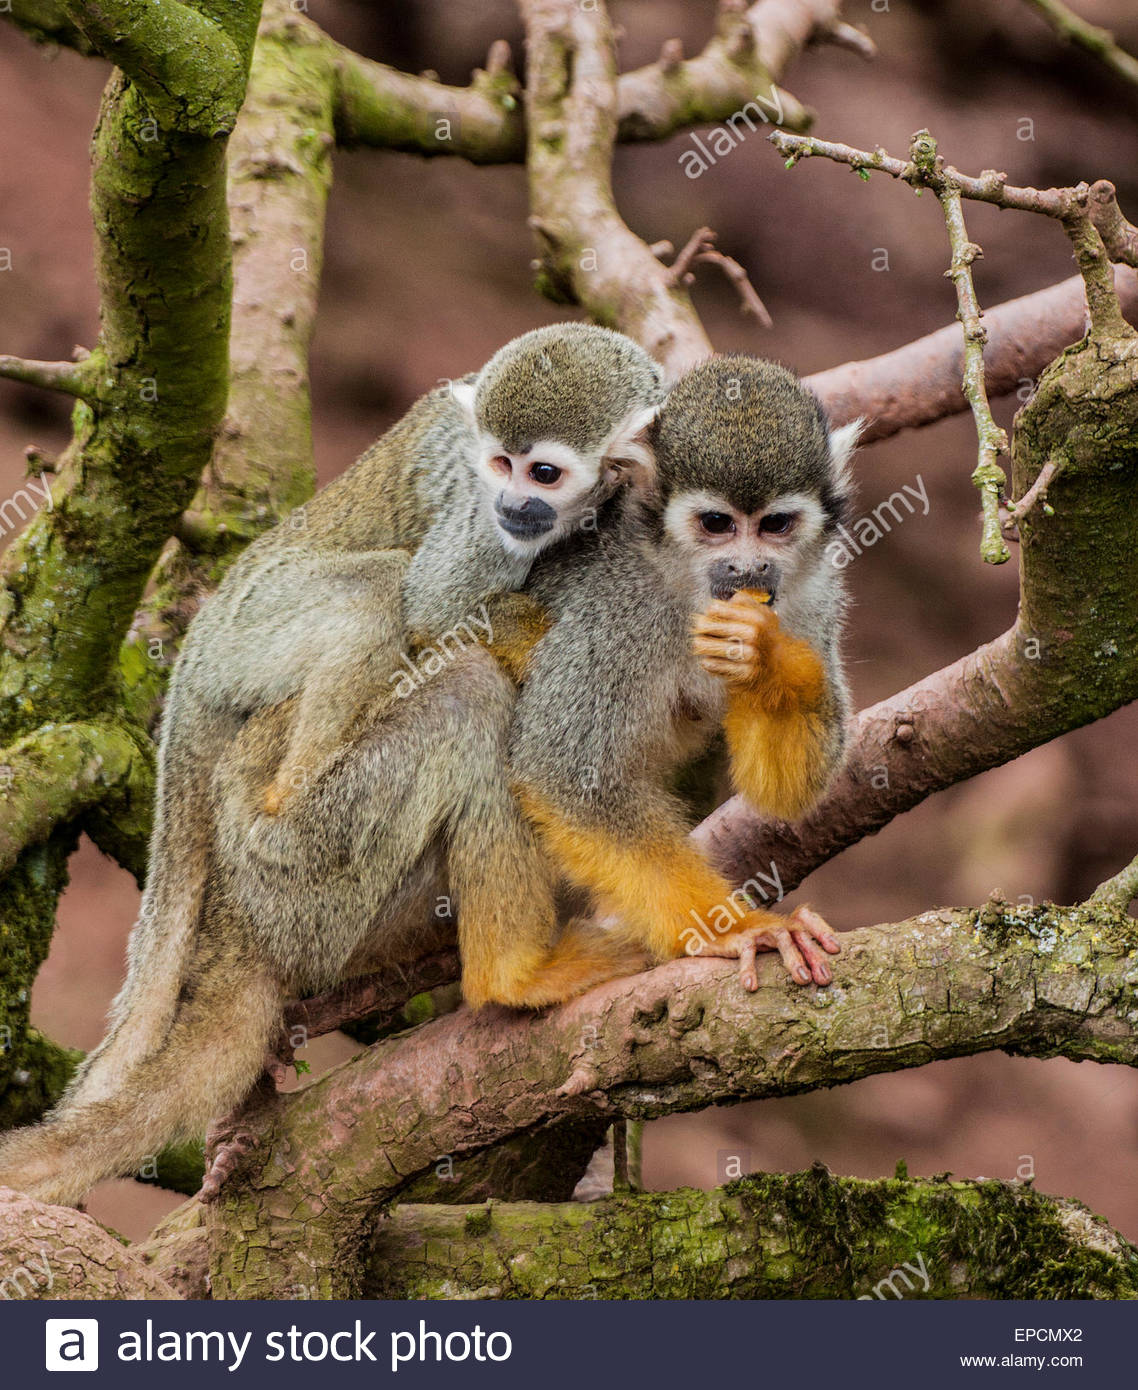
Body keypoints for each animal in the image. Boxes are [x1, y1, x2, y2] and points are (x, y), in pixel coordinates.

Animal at [0, 324, 663, 1206]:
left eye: (544, 473)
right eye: (501, 465)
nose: (514, 507)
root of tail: (196, 659)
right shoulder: (474, 523)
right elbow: (438, 604)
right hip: (256, 635)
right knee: (385, 596)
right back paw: (293, 795)